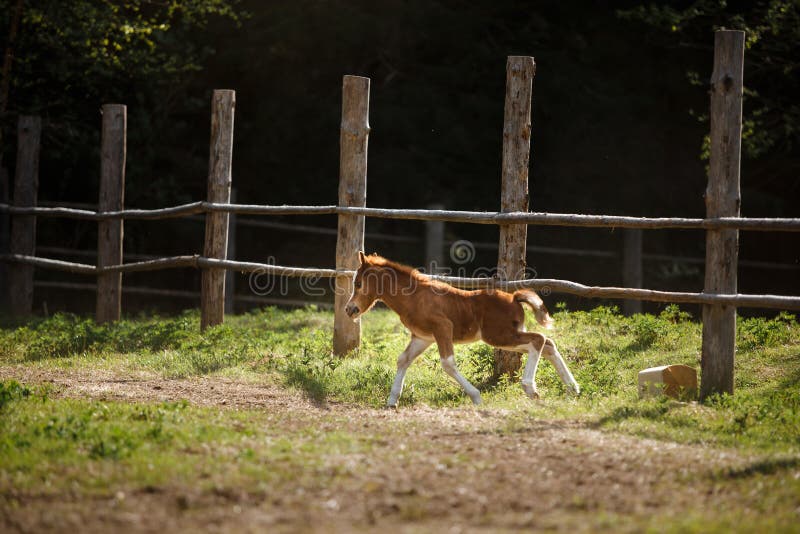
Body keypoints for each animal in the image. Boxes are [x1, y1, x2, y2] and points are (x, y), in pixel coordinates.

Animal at [344, 252, 580, 407]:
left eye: (358, 283)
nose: (349, 309)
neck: (414, 297)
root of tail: (514, 297)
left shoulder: (442, 329)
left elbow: (448, 364)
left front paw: (475, 396)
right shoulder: (422, 337)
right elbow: (403, 360)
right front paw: (392, 400)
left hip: (498, 336)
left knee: (539, 340)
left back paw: (530, 387)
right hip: (506, 335)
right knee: (547, 344)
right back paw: (572, 388)